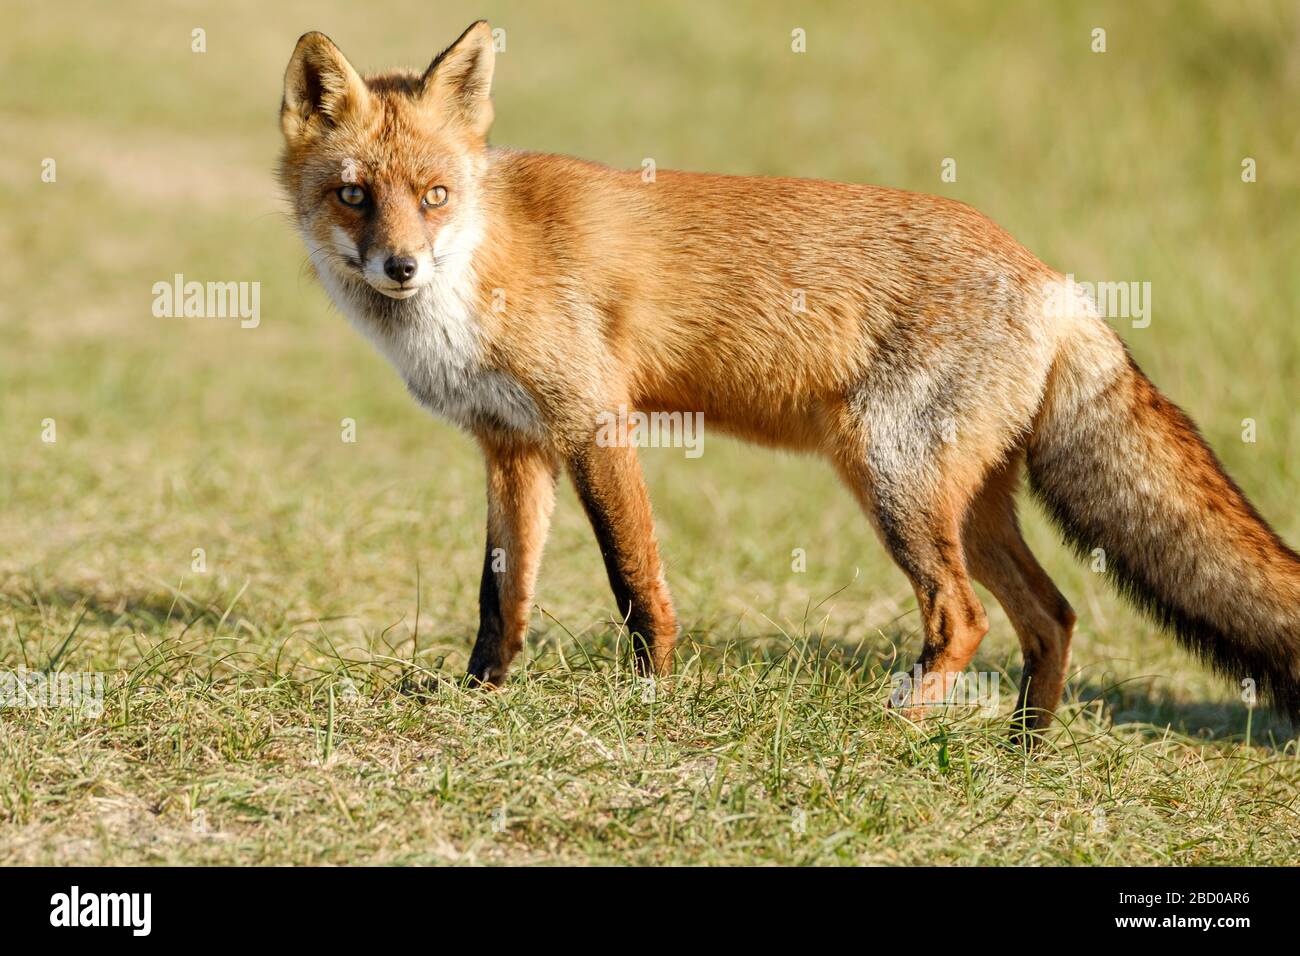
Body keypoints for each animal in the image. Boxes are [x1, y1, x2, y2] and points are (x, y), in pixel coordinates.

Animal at [279, 21, 1300, 736]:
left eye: (436, 196)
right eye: (354, 195)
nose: (401, 267)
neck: (482, 270)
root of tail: (1055, 280)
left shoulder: (596, 421)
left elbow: (634, 579)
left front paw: (647, 701)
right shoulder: (513, 448)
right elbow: (504, 597)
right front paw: (480, 696)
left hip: (895, 482)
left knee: (965, 616)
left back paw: (896, 725)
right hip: (965, 503)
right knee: (1051, 616)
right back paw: (1022, 751)